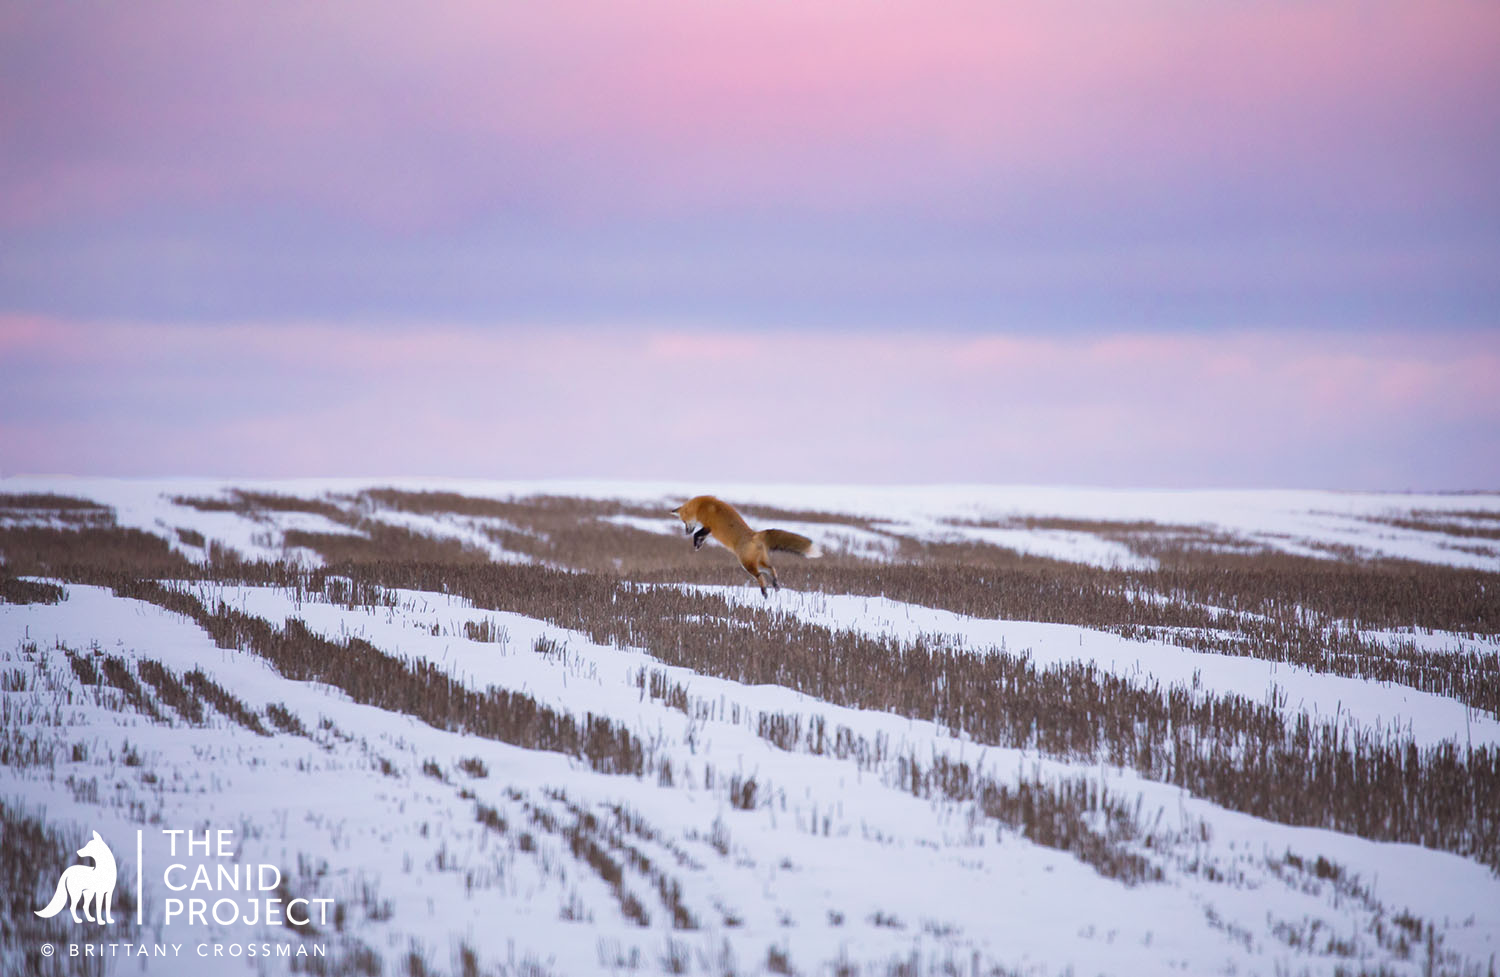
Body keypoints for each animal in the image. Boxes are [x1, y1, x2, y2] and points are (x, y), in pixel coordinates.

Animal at [671, 495, 821, 596]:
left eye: (684, 522)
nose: (685, 533)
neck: (702, 505)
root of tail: (755, 534)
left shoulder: (708, 526)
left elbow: (697, 534)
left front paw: (695, 543)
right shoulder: (708, 530)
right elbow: (700, 537)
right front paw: (698, 545)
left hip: (746, 564)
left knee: (760, 575)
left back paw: (764, 592)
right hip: (759, 562)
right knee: (771, 569)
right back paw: (775, 584)